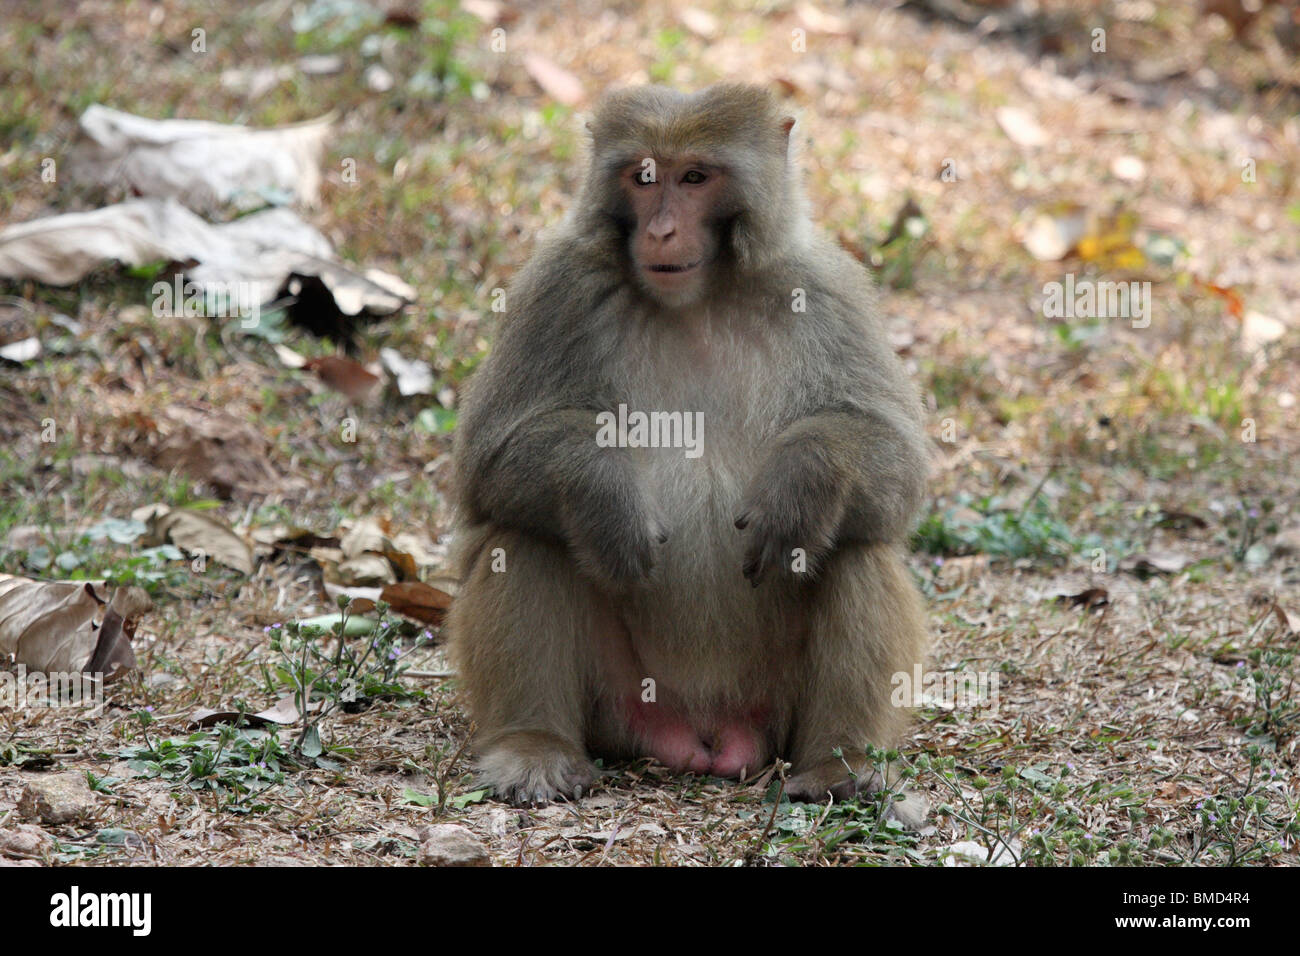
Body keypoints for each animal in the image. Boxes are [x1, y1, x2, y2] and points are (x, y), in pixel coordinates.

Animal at [446, 83, 930, 825]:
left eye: (695, 177)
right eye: (643, 178)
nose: (662, 232)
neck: (700, 299)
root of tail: (706, 733)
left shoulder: (825, 291)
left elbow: (896, 465)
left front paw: (803, 482)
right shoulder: (560, 285)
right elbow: (487, 466)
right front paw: (602, 493)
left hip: (770, 704)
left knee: (855, 544)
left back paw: (837, 764)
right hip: (619, 704)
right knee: (528, 532)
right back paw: (534, 746)